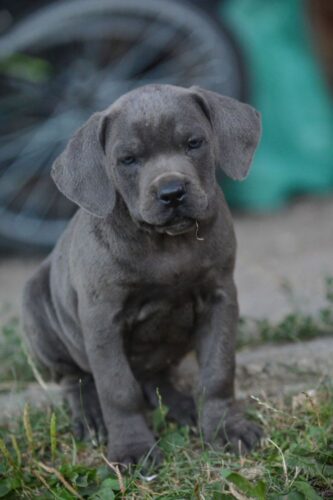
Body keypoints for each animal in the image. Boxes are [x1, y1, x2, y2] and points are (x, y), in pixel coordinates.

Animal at [22, 85, 262, 464]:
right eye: (128, 160)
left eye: (194, 143)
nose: (172, 192)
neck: (166, 244)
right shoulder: (102, 319)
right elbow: (119, 390)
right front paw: (132, 449)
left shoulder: (220, 298)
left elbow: (218, 370)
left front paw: (227, 428)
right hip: (36, 308)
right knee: (75, 378)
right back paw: (90, 417)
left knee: (154, 375)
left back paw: (180, 405)